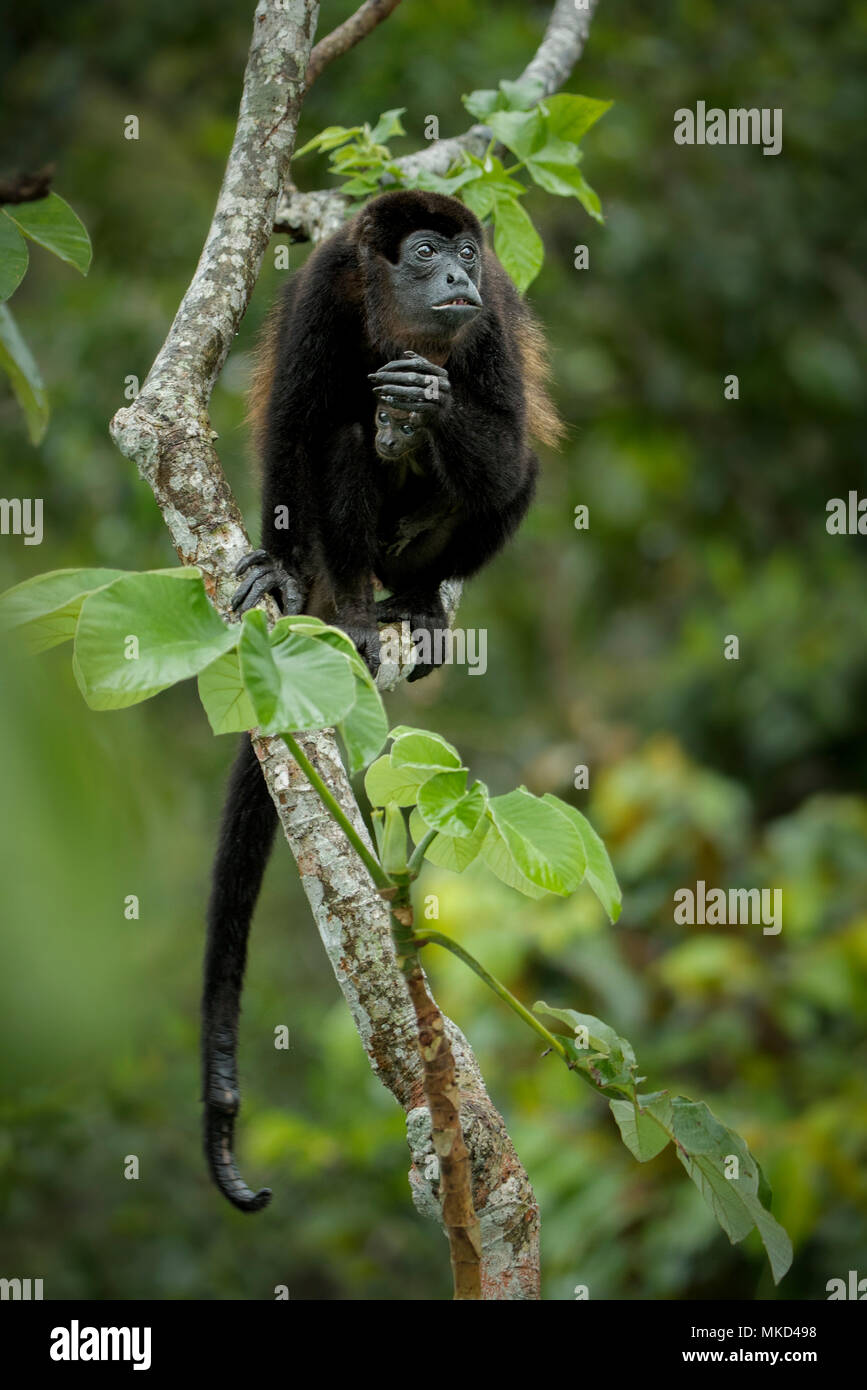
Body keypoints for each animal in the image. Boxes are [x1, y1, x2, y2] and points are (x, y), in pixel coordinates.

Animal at [203, 190, 562, 1212]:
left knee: (506, 477)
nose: (456, 277)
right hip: (344, 550)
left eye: (468, 256)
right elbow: (294, 427)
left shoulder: (492, 317)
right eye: (425, 251)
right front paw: (277, 571)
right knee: (338, 438)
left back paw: (417, 604)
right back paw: (355, 607)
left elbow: (508, 447)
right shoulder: (326, 285)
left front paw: (429, 404)